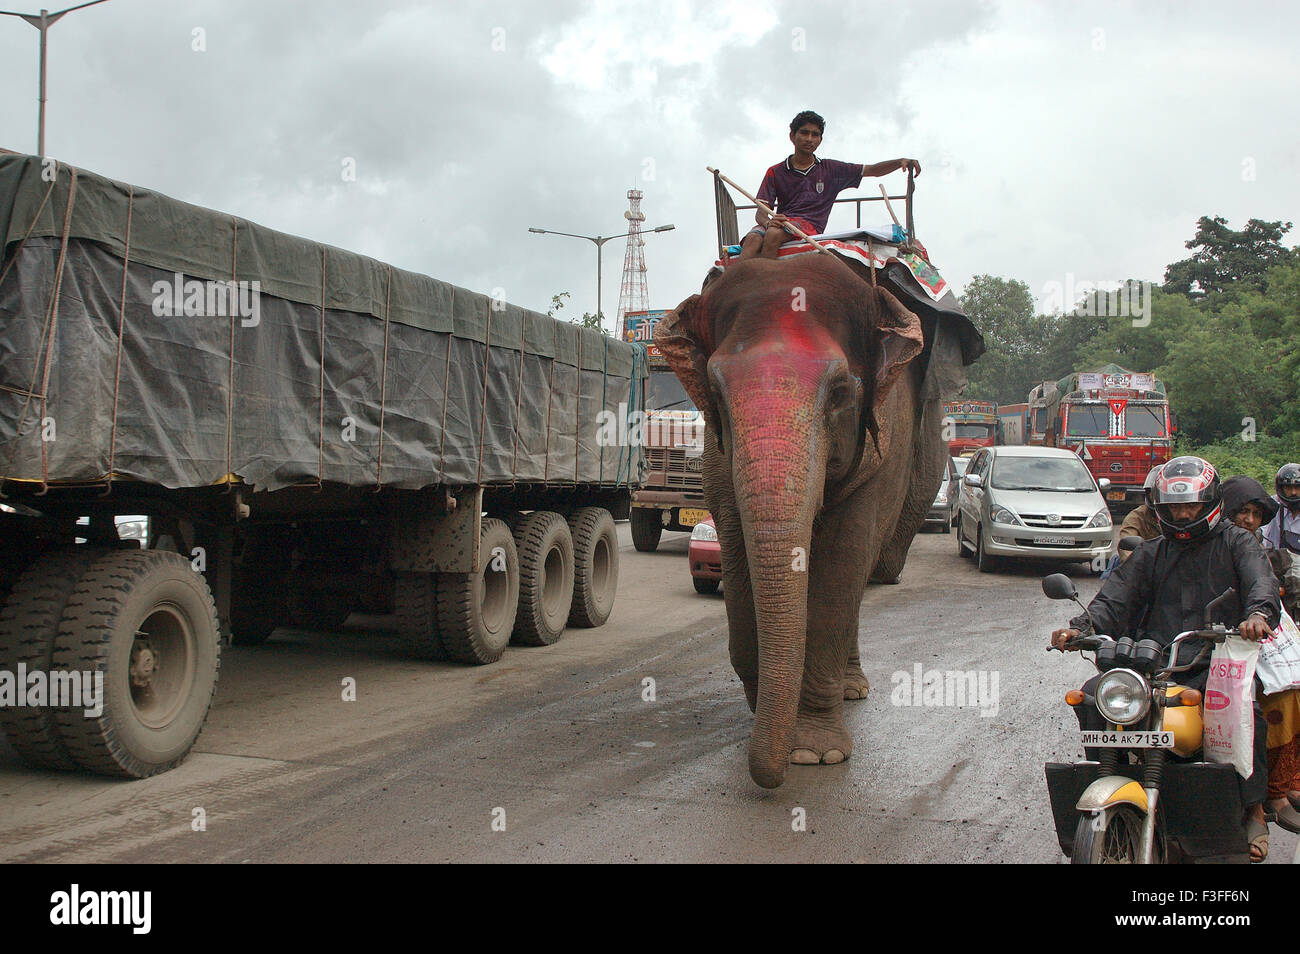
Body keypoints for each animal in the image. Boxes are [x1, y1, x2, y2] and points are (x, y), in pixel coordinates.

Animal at [654, 253, 981, 788]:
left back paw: (852, 690)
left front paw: (813, 754)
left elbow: (843, 559)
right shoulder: (717, 459)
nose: (768, 778)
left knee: (859, 575)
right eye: (716, 394)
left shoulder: (883, 446)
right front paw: (763, 708)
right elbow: (736, 549)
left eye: (840, 392)